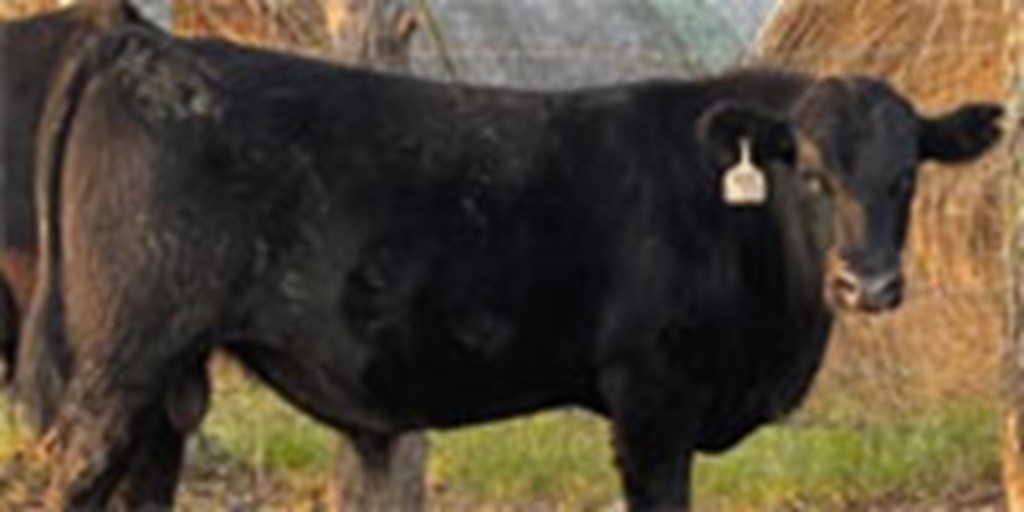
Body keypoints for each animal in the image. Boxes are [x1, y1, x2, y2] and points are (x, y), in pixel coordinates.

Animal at [22, 20, 1001, 511]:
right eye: (809, 171)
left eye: (907, 174)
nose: (866, 285)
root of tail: (145, 48)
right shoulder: (652, 399)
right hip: (118, 365)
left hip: (165, 381)